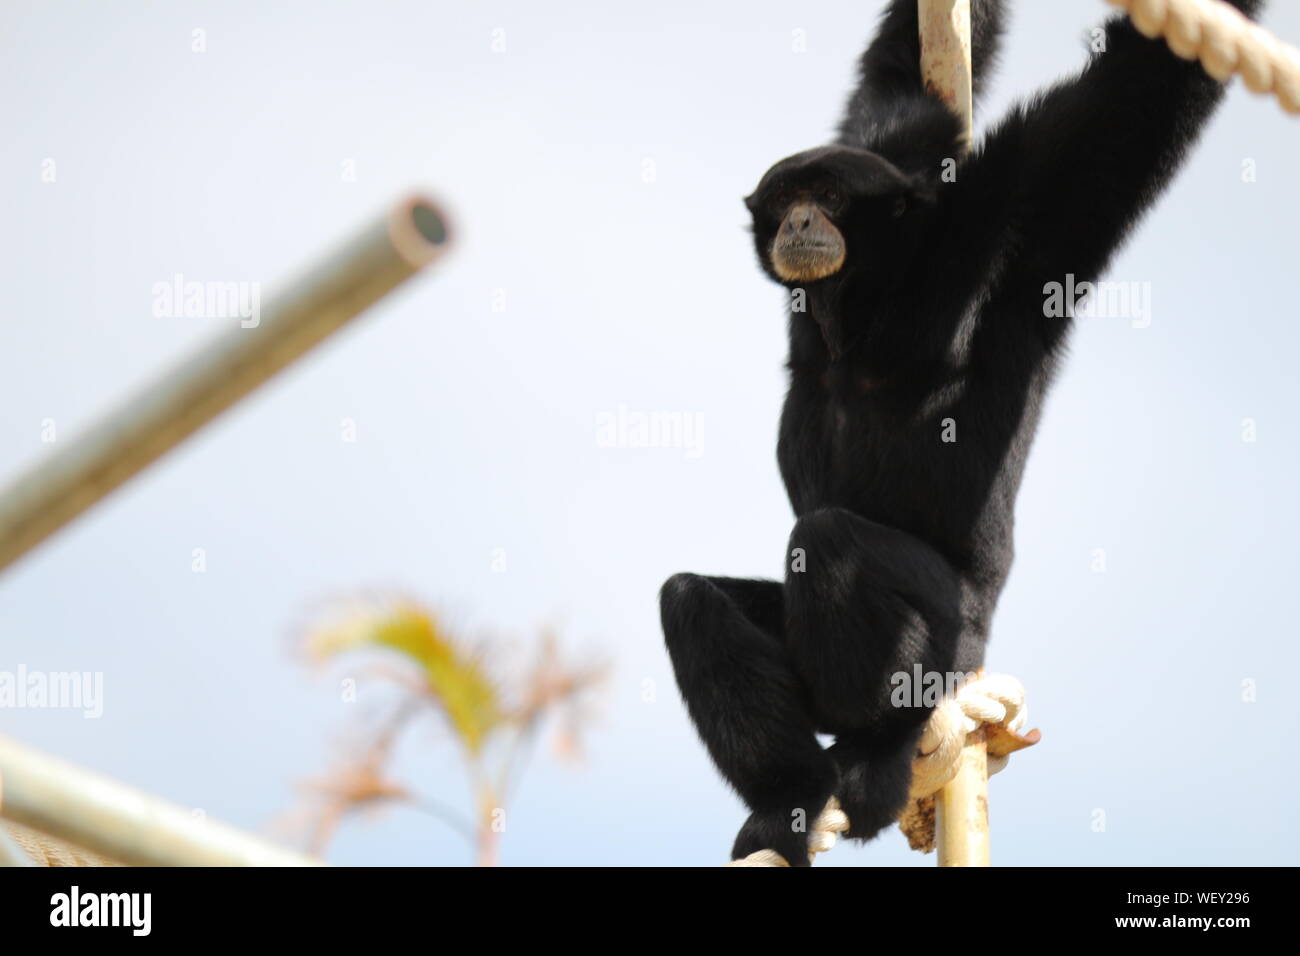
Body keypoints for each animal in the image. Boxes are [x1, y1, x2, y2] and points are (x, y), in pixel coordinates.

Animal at [660, 0, 1265, 865]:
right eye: (791, 197)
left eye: (827, 195)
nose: (802, 217)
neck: (867, 305)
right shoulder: (905, 160)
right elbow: (897, 79)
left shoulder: (1002, 229)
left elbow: (1133, 97)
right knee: (690, 599)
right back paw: (790, 797)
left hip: (954, 637)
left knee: (830, 539)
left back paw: (875, 748)